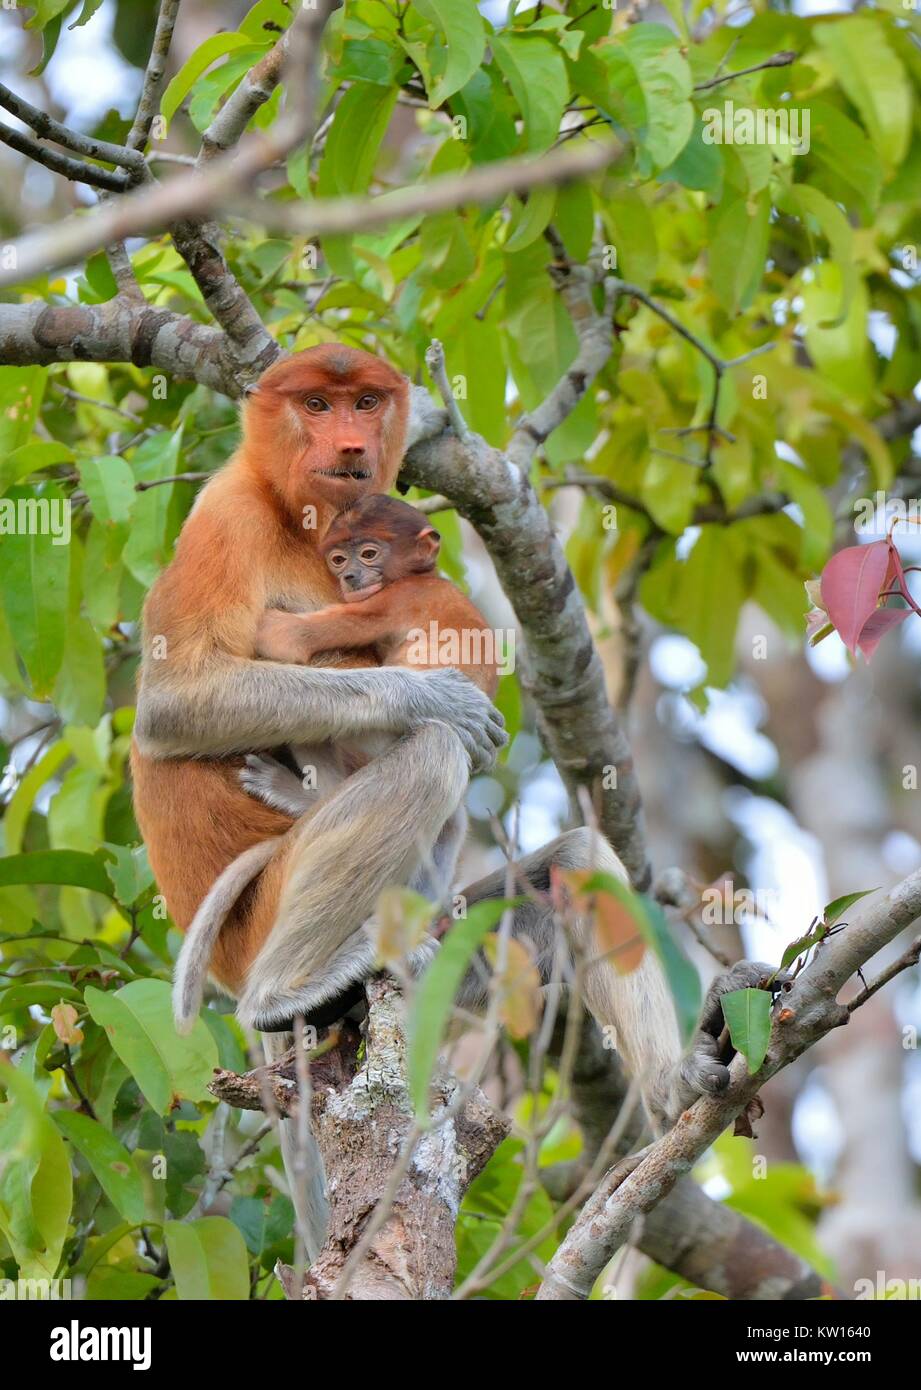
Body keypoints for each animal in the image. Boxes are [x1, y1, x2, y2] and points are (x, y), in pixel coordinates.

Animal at [131, 343, 769, 1259]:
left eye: (365, 402)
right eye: (315, 404)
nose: (351, 443)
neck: (294, 517)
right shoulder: (226, 517)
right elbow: (172, 703)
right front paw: (445, 700)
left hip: (456, 943)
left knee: (570, 863)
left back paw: (678, 1084)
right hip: (262, 911)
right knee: (427, 757)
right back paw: (285, 986)